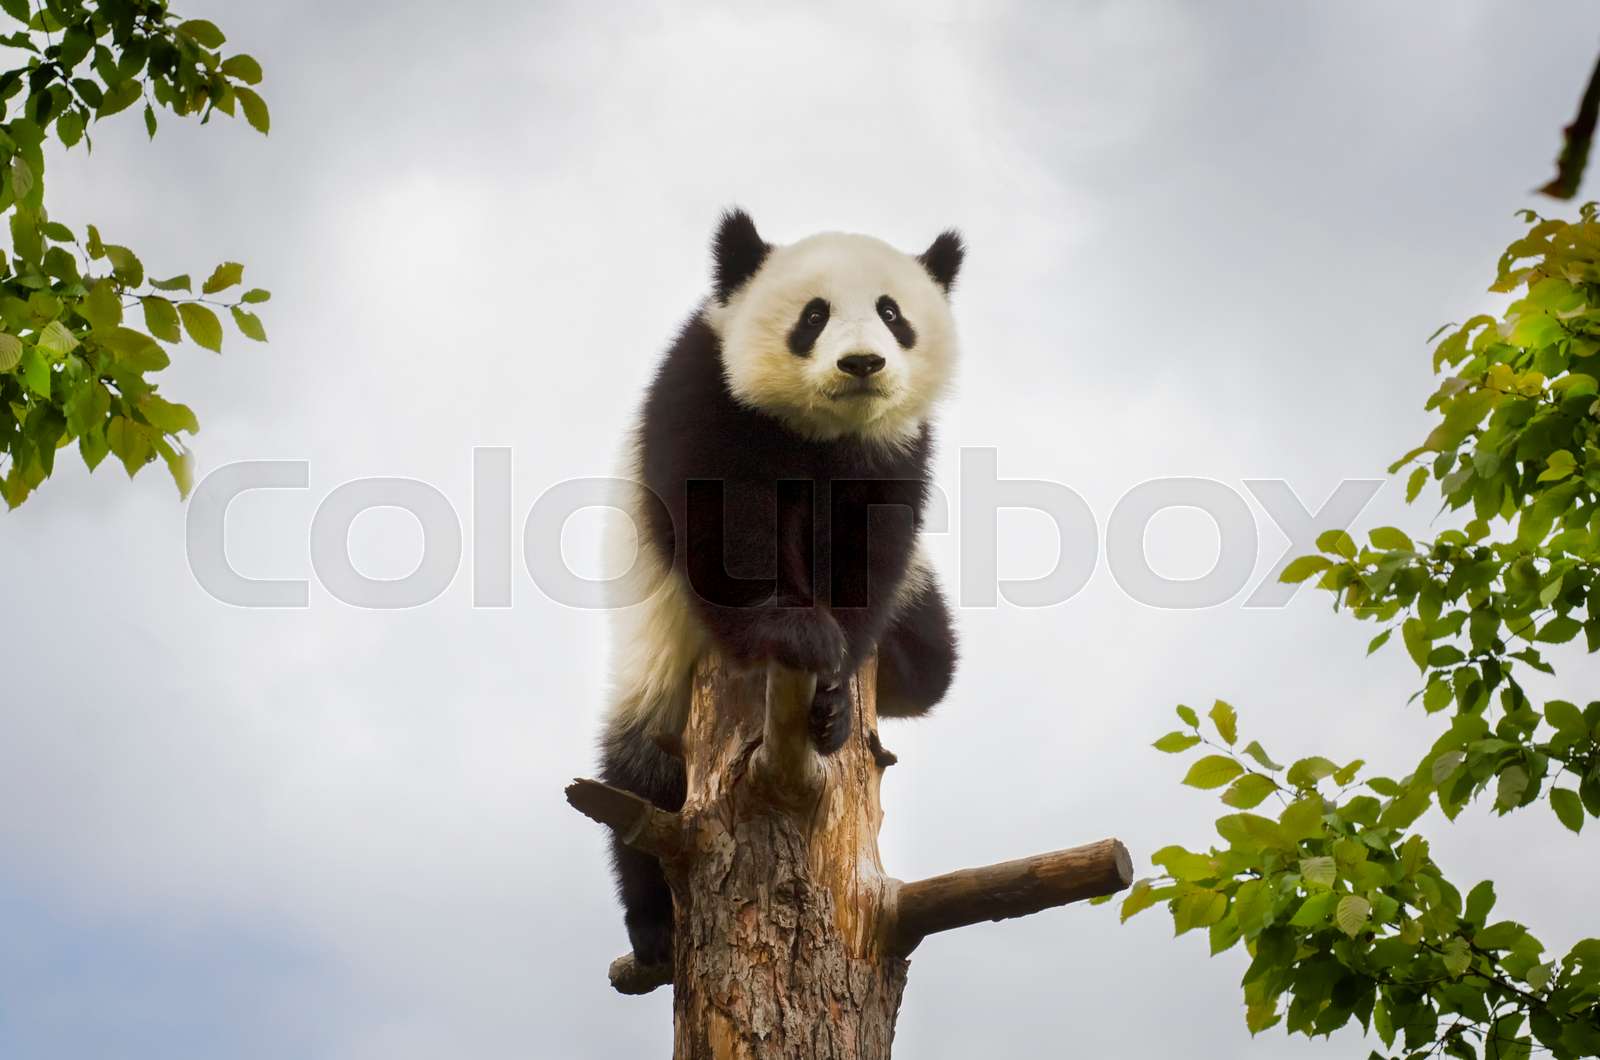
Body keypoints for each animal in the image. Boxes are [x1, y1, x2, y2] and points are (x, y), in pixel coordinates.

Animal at [599, 209, 962, 966]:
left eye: (892, 314)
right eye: (813, 315)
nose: (862, 364)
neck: (821, 433)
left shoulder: (894, 448)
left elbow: (875, 548)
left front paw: (834, 696)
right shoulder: (708, 393)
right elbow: (723, 525)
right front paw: (796, 632)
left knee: (933, 660)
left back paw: (901, 663)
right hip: (658, 671)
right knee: (639, 786)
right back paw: (653, 926)